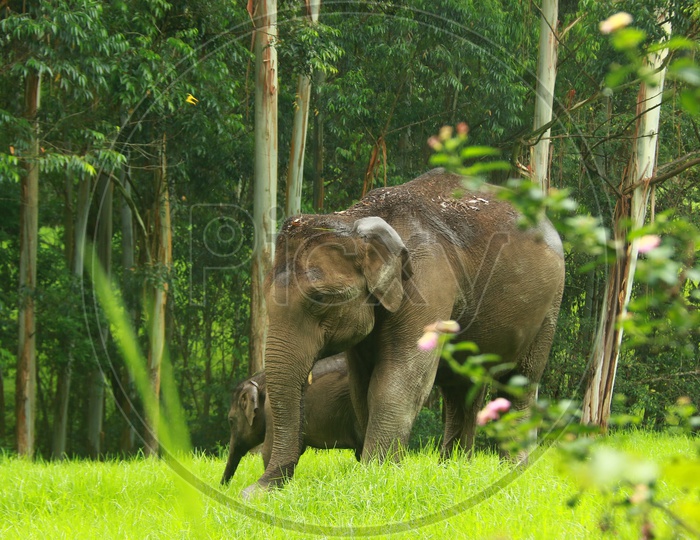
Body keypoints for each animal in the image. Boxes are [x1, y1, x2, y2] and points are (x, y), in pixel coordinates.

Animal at [245, 168, 565, 495]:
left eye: (321, 298)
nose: (253, 491)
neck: (355, 218)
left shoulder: (427, 280)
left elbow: (401, 377)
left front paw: (374, 474)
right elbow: (362, 385)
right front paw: (376, 470)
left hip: (550, 306)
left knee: (519, 381)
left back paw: (512, 470)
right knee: (460, 388)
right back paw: (453, 469)